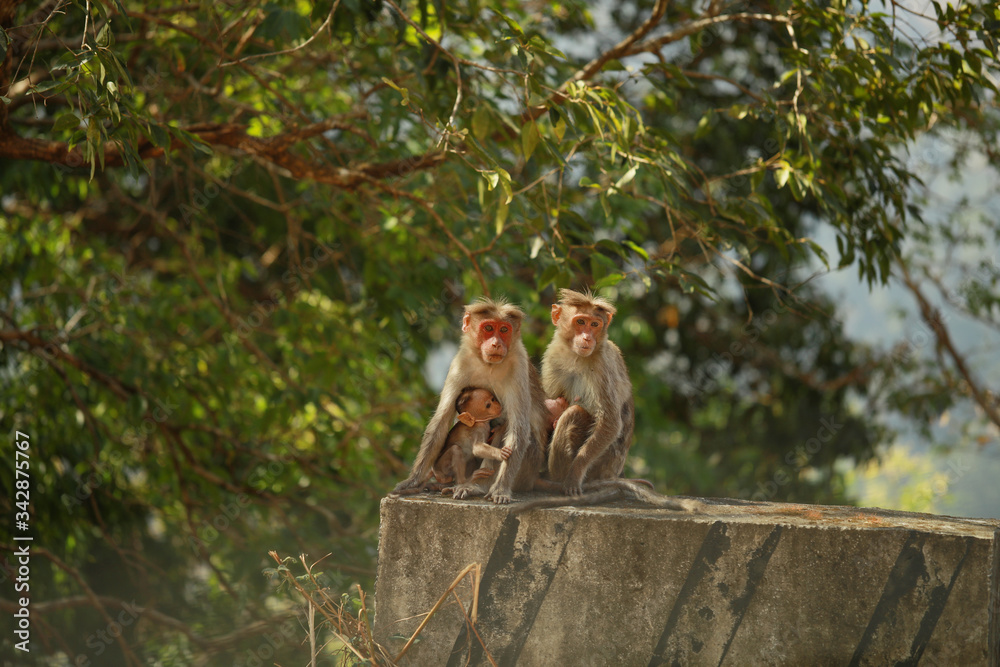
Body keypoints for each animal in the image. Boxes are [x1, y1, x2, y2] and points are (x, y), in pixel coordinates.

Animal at [391, 297, 549, 504]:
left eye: (504, 330)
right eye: (488, 328)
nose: (496, 344)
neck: (489, 365)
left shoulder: (519, 366)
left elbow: (519, 429)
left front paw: (500, 489)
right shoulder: (460, 363)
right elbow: (441, 421)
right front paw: (413, 479)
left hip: (528, 469)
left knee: (509, 428)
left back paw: (475, 486)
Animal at [541, 288, 635, 496]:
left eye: (595, 324)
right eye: (581, 322)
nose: (587, 338)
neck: (575, 358)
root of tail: (614, 473)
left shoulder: (602, 367)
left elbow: (610, 423)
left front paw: (575, 472)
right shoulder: (552, 357)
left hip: (602, 465)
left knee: (574, 413)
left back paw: (555, 478)